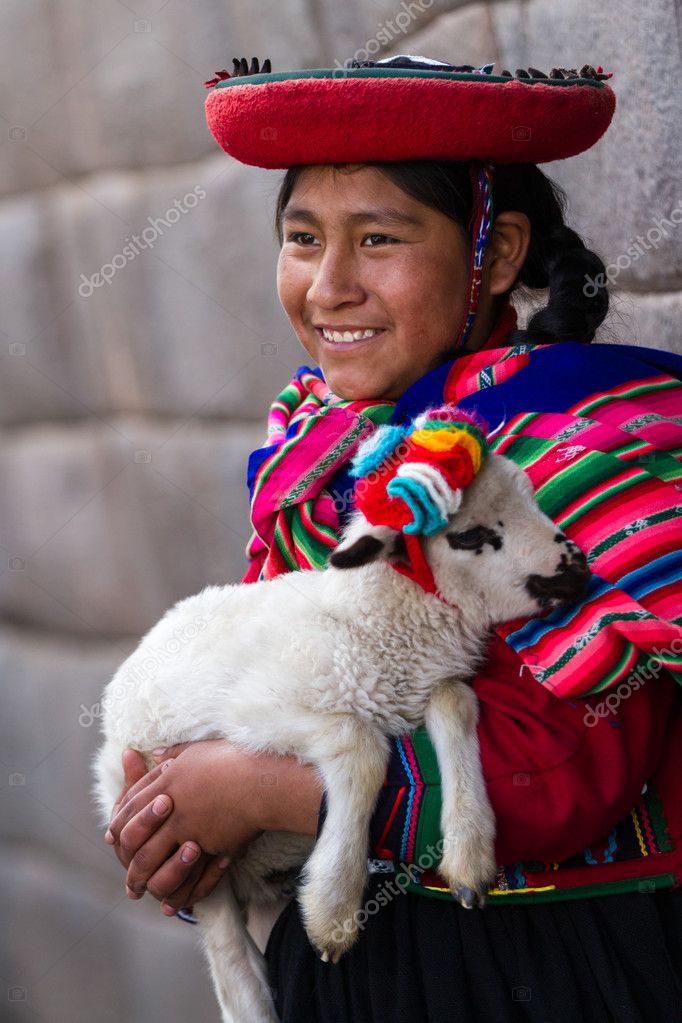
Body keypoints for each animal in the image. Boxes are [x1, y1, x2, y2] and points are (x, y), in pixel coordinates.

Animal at [93, 445, 589, 1023]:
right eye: (469, 535)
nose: (578, 568)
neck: (371, 626)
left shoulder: (425, 687)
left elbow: (456, 703)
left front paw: (468, 856)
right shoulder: (261, 713)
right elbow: (361, 746)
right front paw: (333, 912)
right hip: (190, 846)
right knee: (234, 968)